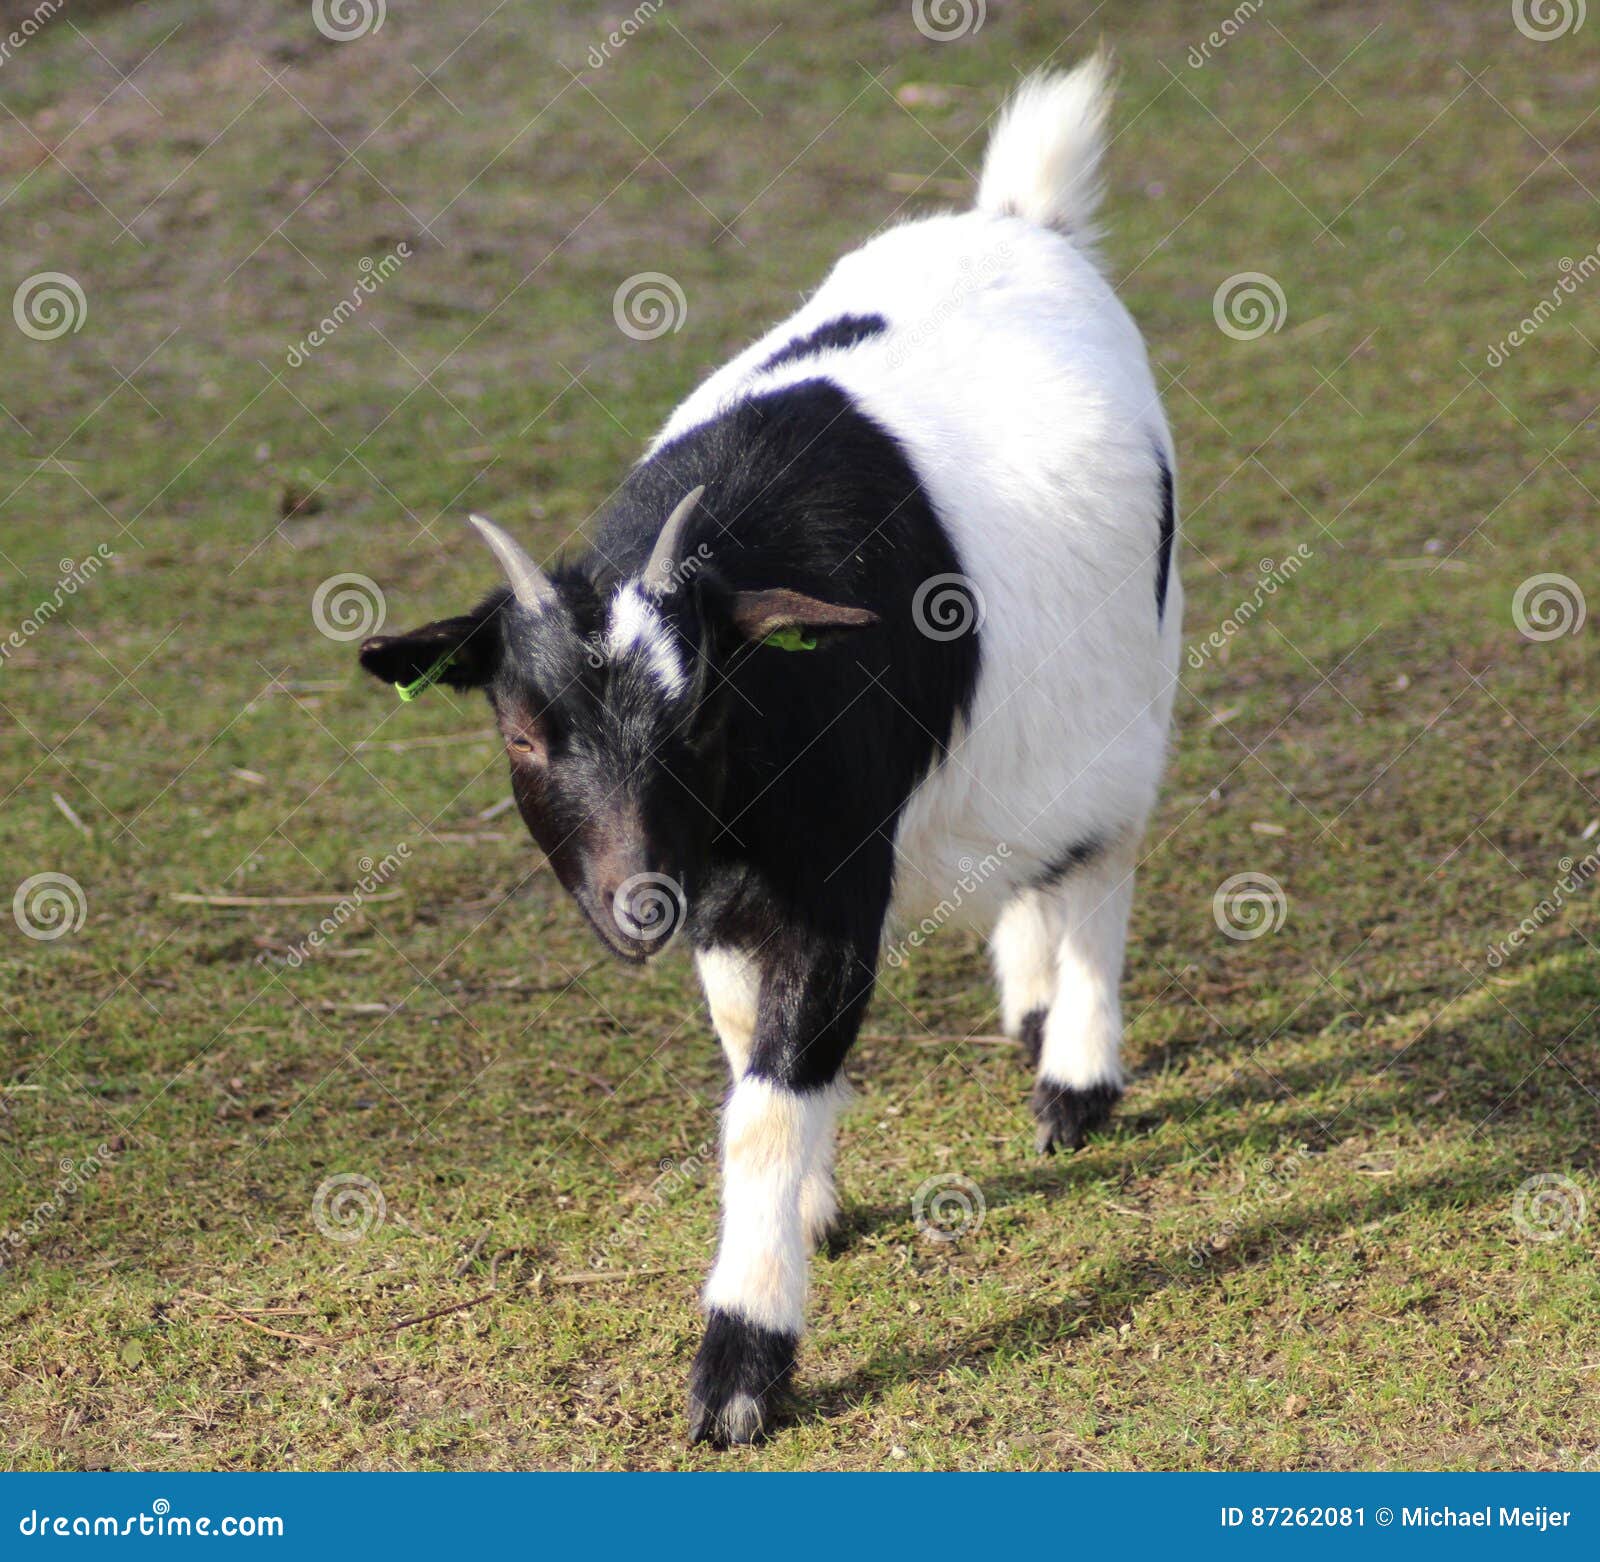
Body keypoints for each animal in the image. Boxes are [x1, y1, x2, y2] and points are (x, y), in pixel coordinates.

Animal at [358, 55, 1180, 1446]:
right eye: (522, 730)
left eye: (700, 715)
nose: (636, 902)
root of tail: (1021, 220)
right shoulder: (728, 898)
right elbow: (749, 1041)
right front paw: (814, 1206)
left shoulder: (831, 885)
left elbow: (765, 1101)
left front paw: (740, 1369)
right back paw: (1025, 999)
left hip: (1132, 696)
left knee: (1100, 858)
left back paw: (1075, 1071)